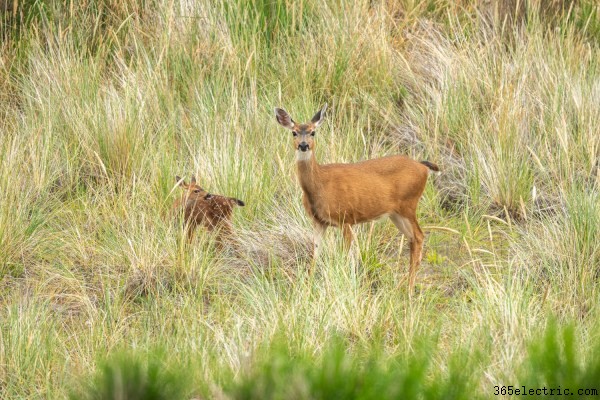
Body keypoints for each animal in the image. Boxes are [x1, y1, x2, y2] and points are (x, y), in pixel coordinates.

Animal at [274, 104, 438, 290]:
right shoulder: (319, 221)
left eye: (313, 132)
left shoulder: (346, 217)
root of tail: (422, 167)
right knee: (413, 238)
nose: (303, 145)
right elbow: (315, 254)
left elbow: (345, 256)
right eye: (294, 132)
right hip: (395, 213)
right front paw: (308, 288)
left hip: (408, 204)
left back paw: (408, 290)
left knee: (419, 236)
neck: (320, 186)